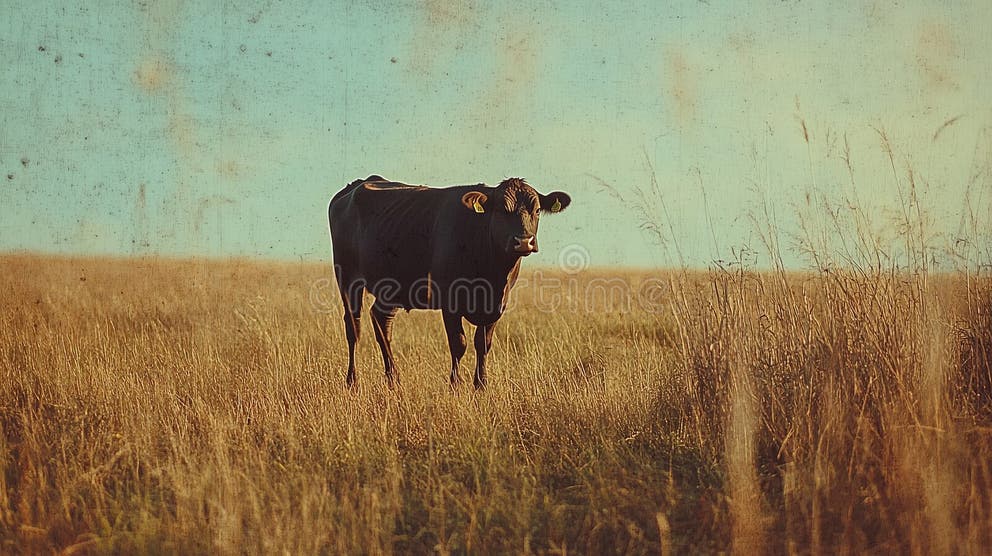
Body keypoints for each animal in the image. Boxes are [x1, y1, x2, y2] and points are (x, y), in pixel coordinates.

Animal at [327, 175, 571, 389]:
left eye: (536, 210)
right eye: (502, 209)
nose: (524, 241)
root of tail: (357, 185)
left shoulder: (497, 305)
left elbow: (483, 344)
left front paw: (481, 384)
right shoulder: (450, 302)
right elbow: (459, 343)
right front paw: (455, 384)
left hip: (390, 288)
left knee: (382, 322)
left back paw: (393, 379)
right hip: (347, 278)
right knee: (354, 328)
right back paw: (352, 381)